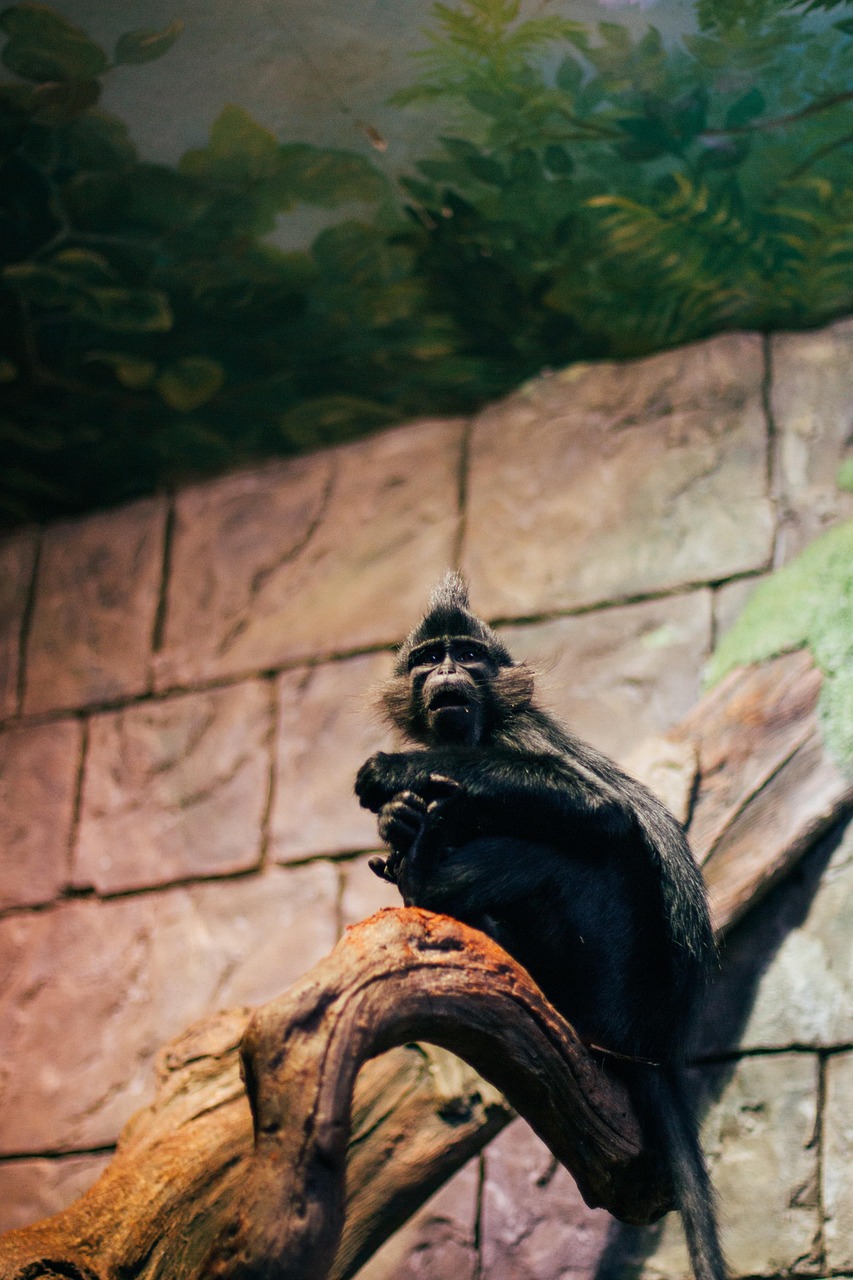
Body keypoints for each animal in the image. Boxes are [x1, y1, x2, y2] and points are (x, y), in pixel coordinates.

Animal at [355, 571, 726, 1280]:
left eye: (468, 656)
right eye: (429, 658)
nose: (446, 671)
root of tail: (654, 1040)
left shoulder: (517, 735)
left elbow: (600, 809)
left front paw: (393, 776)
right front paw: (399, 817)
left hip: (607, 976)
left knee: (571, 850)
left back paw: (430, 881)